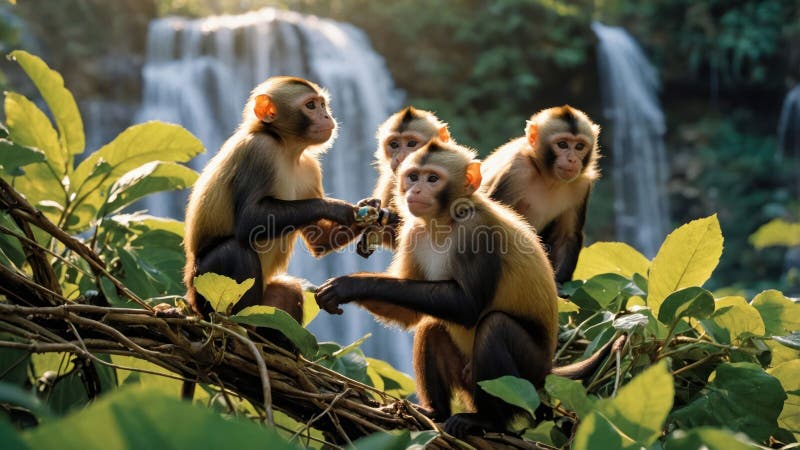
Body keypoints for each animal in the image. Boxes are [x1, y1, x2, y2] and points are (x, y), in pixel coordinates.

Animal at [183, 76, 376, 324]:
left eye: (322, 105)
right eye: (311, 106)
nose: (327, 116)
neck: (287, 149)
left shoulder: (310, 169)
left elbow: (318, 241)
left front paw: (370, 210)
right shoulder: (260, 150)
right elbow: (248, 219)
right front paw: (337, 209)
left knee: (287, 291)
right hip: (201, 291)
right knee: (234, 250)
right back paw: (237, 326)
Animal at [315, 139, 622, 437]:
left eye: (432, 178)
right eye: (413, 176)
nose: (415, 189)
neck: (444, 221)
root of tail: (548, 372)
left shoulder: (477, 230)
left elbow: (468, 306)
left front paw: (351, 284)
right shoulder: (413, 233)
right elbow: (410, 316)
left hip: (527, 380)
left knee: (494, 327)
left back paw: (490, 422)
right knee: (432, 327)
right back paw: (436, 413)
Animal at [481, 105, 601, 285]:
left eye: (579, 147)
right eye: (562, 144)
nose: (572, 159)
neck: (547, 177)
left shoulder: (581, 184)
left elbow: (567, 236)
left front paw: (558, 285)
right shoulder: (517, 171)